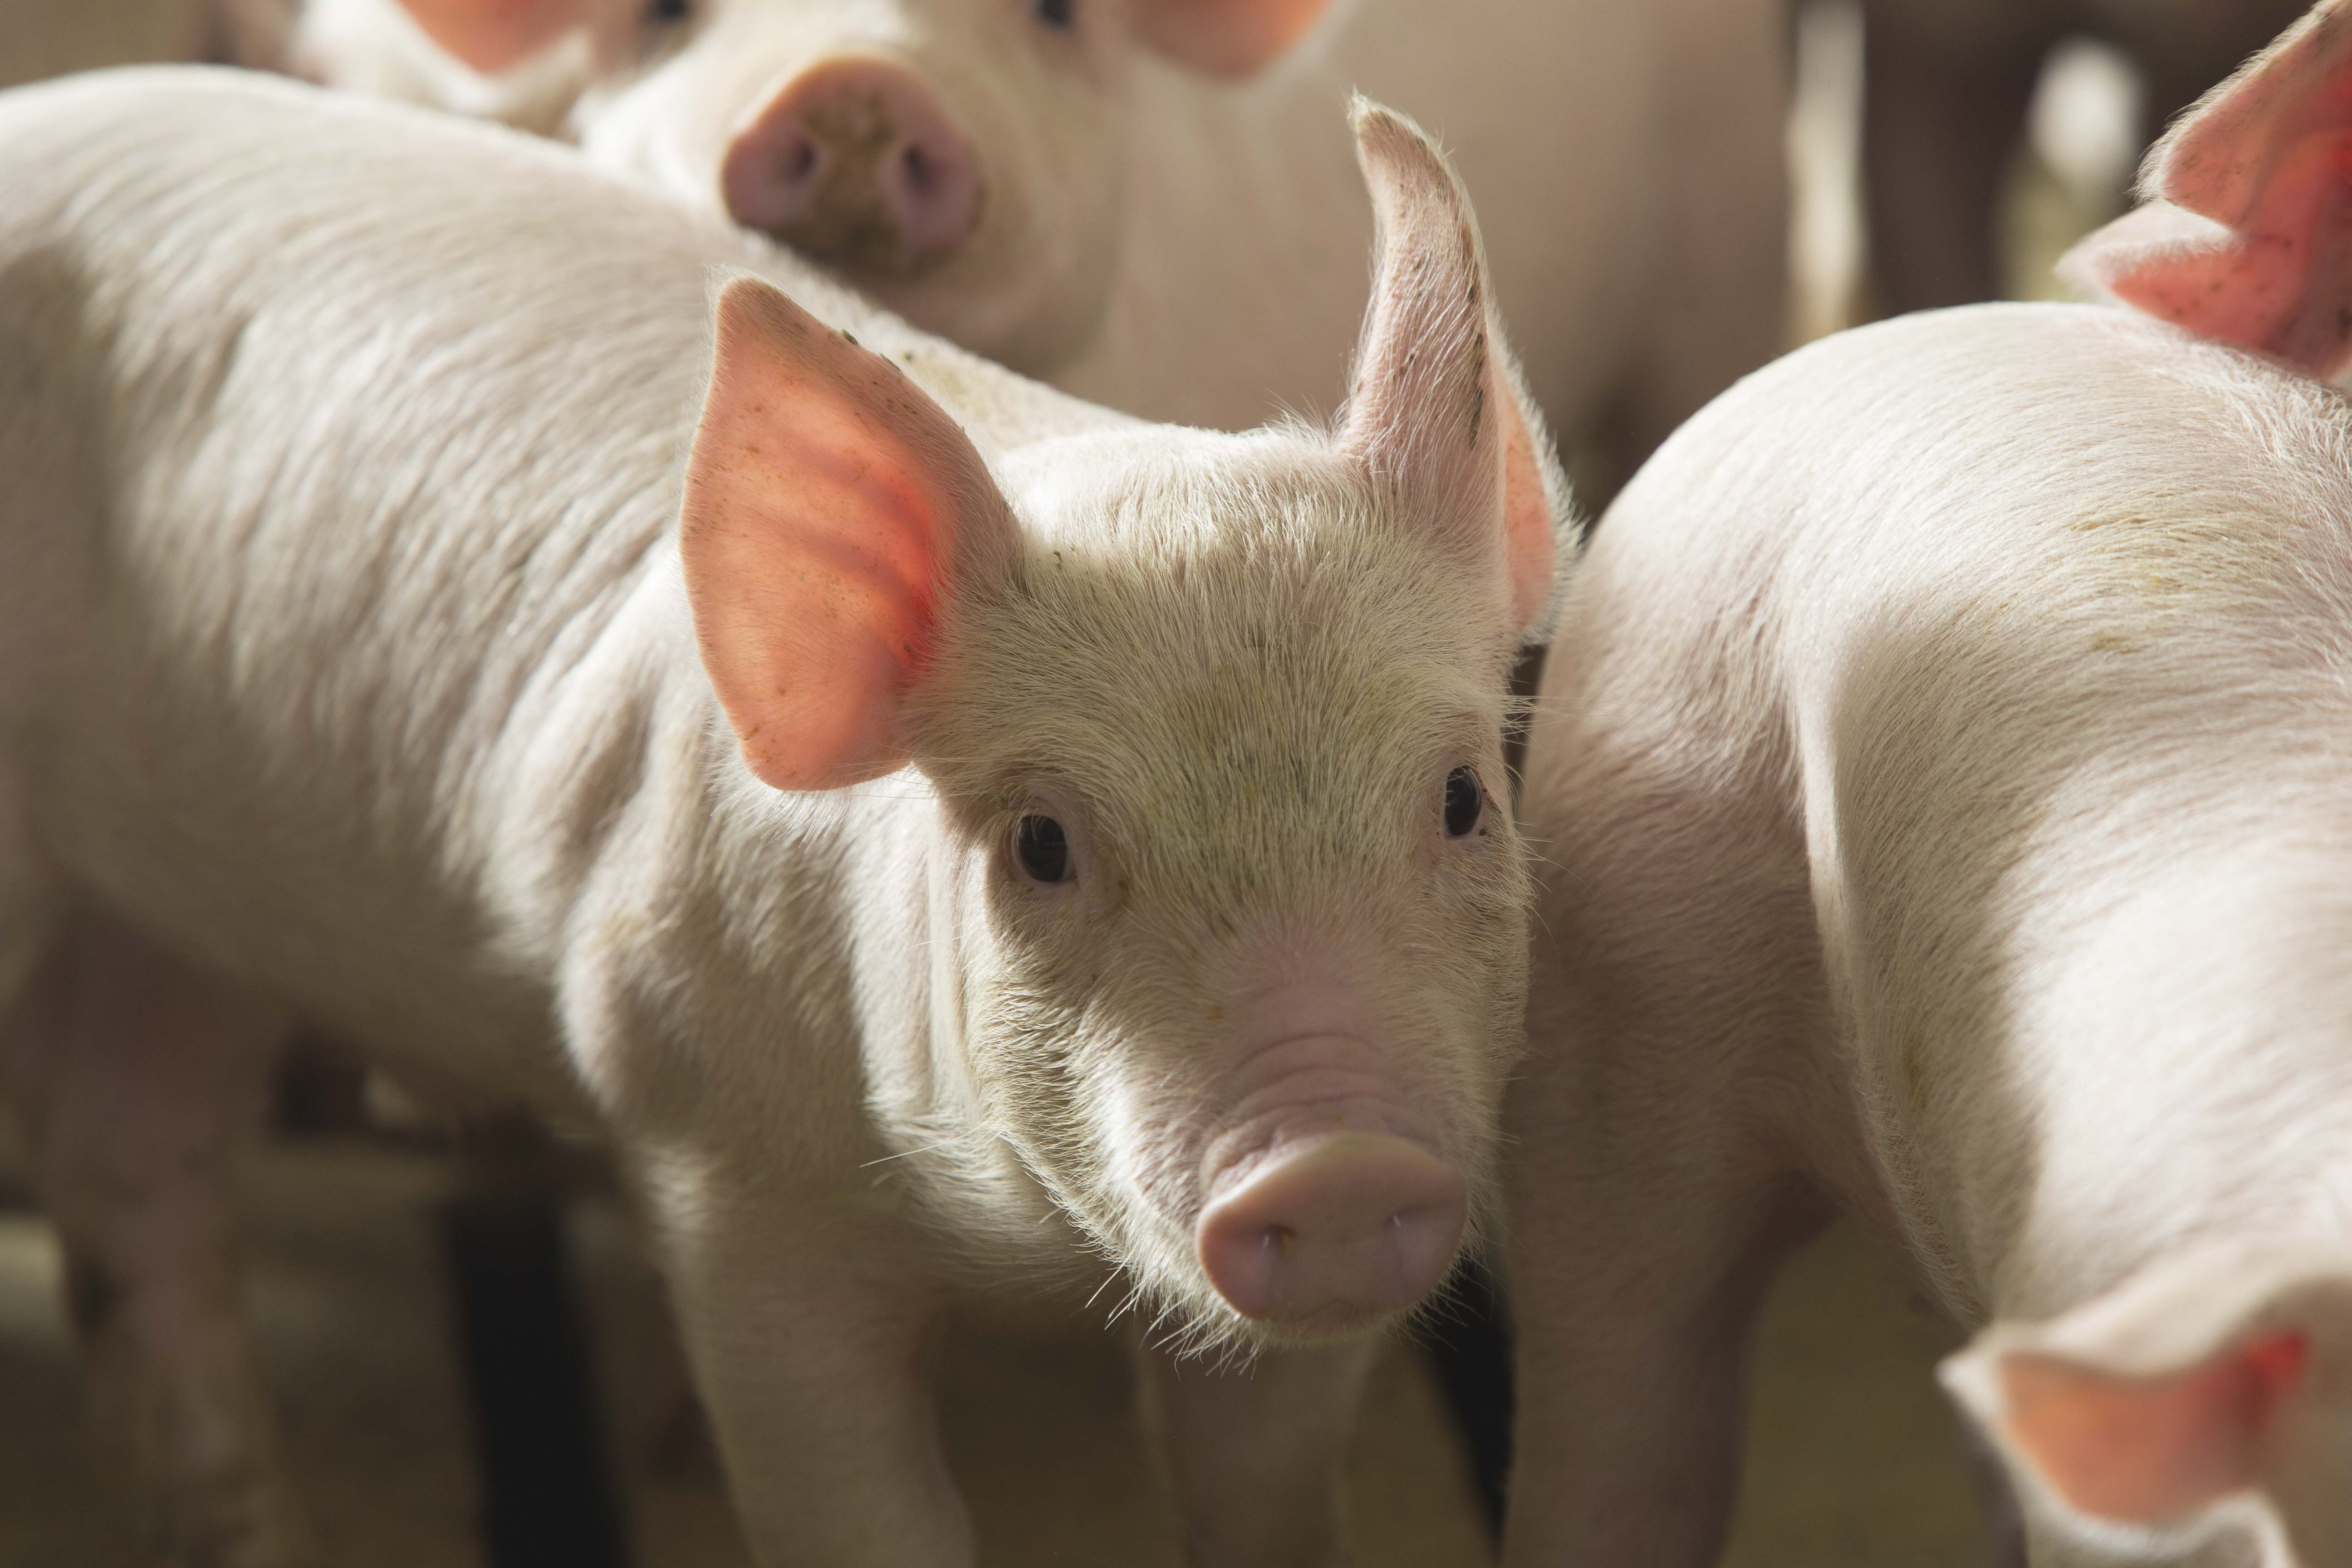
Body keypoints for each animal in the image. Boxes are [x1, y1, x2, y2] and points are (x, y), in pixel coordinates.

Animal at [0, 66, 1569, 1568]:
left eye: (1462, 801)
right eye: (1041, 846)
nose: (1339, 1161)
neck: (1017, 1268)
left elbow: (1264, 1500)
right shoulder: (712, 1144)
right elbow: (865, 1515)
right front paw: (690, 1464)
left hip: (173, 919)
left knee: (132, 1163)